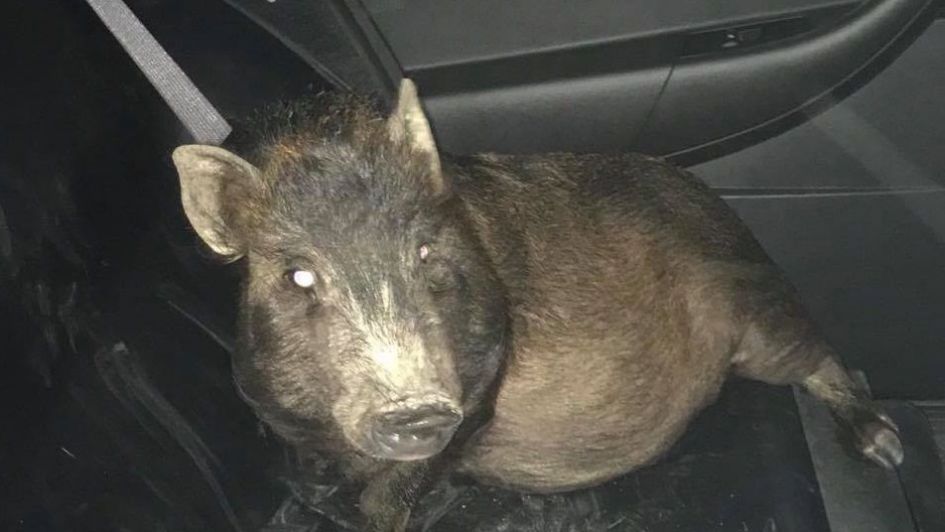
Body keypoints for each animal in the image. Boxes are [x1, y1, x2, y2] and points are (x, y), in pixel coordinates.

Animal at [171, 79, 904, 531]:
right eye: (297, 276)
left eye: (427, 251)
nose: (415, 406)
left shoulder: (478, 378)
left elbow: (397, 490)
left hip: (757, 309)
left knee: (823, 355)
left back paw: (886, 449)